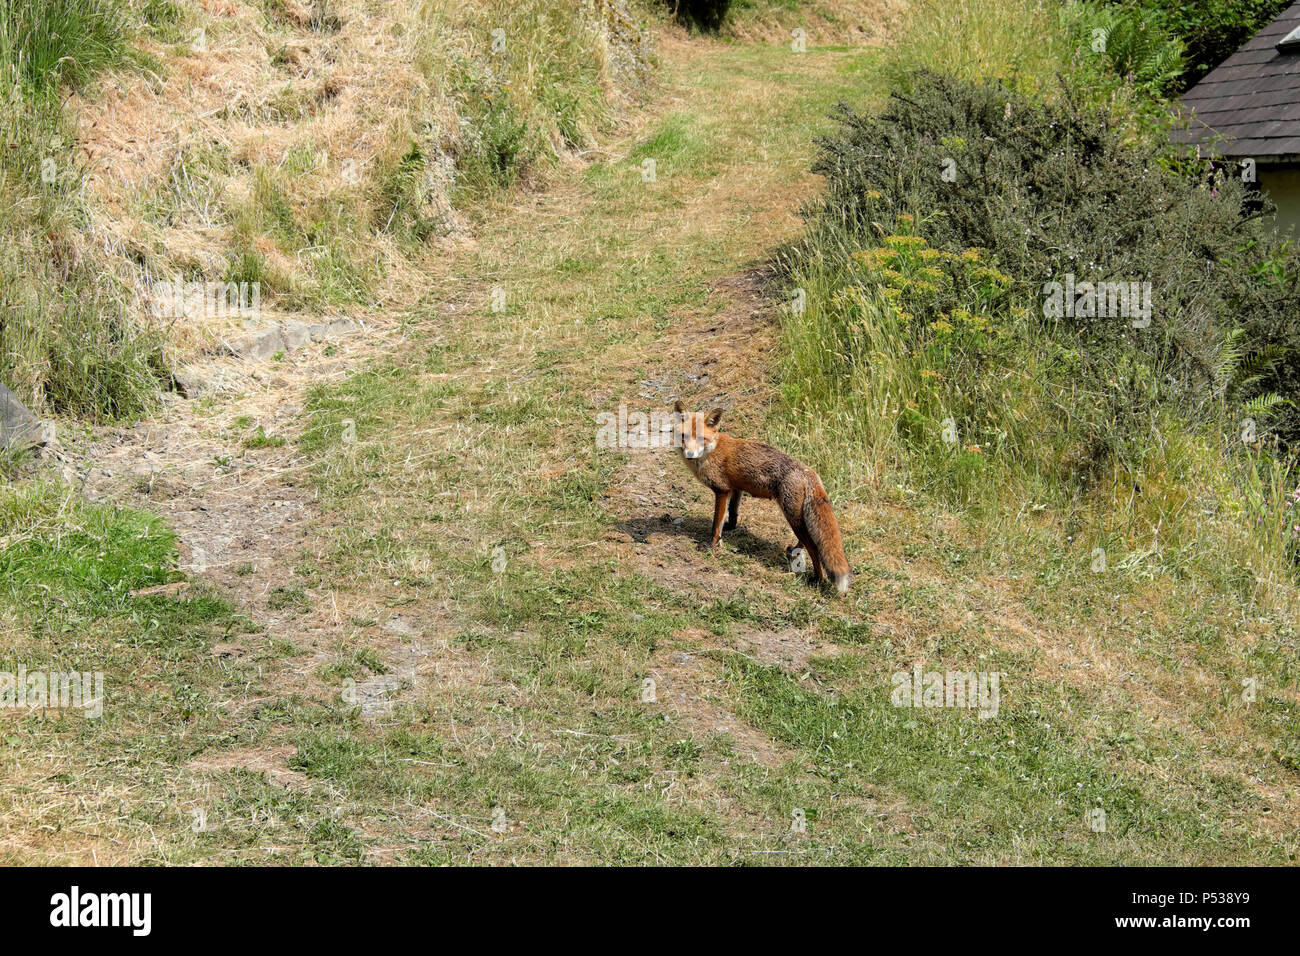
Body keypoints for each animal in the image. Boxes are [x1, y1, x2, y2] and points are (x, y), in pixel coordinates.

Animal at [673, 400, 852, 595]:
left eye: (701, 439)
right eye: (683, 436)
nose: (690, 455)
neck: (711, 451)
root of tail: (808, 471)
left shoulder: (721, 490)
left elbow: (715, 525)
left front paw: (711, 545)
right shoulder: (736, 488)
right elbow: (733, 512)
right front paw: (731, 528)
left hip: (792, 516)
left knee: (814, 548)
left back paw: (817, 579)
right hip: (797, 518)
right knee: (807, 543)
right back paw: (795, 550)